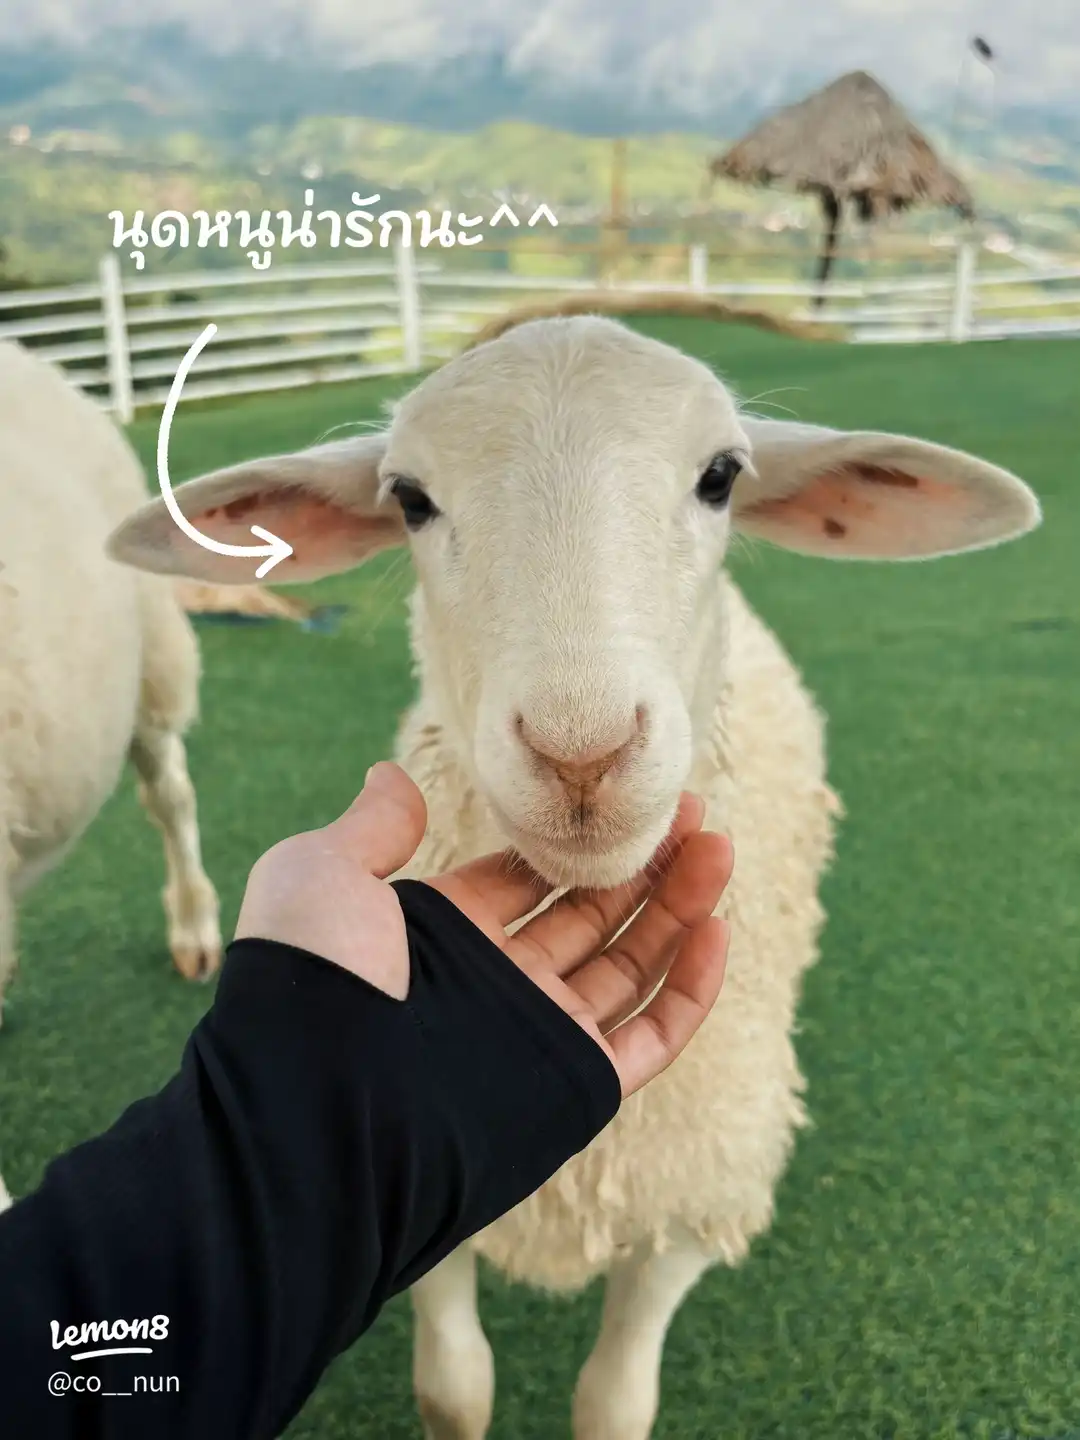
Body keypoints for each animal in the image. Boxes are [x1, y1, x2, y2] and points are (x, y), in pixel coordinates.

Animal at [108, 315, 1041, 1439]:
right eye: (408, 498)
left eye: (721, 477)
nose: (581, 754)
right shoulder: (428, 1198)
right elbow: (455, 1387)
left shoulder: (683, 1202)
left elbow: (613, 1402)